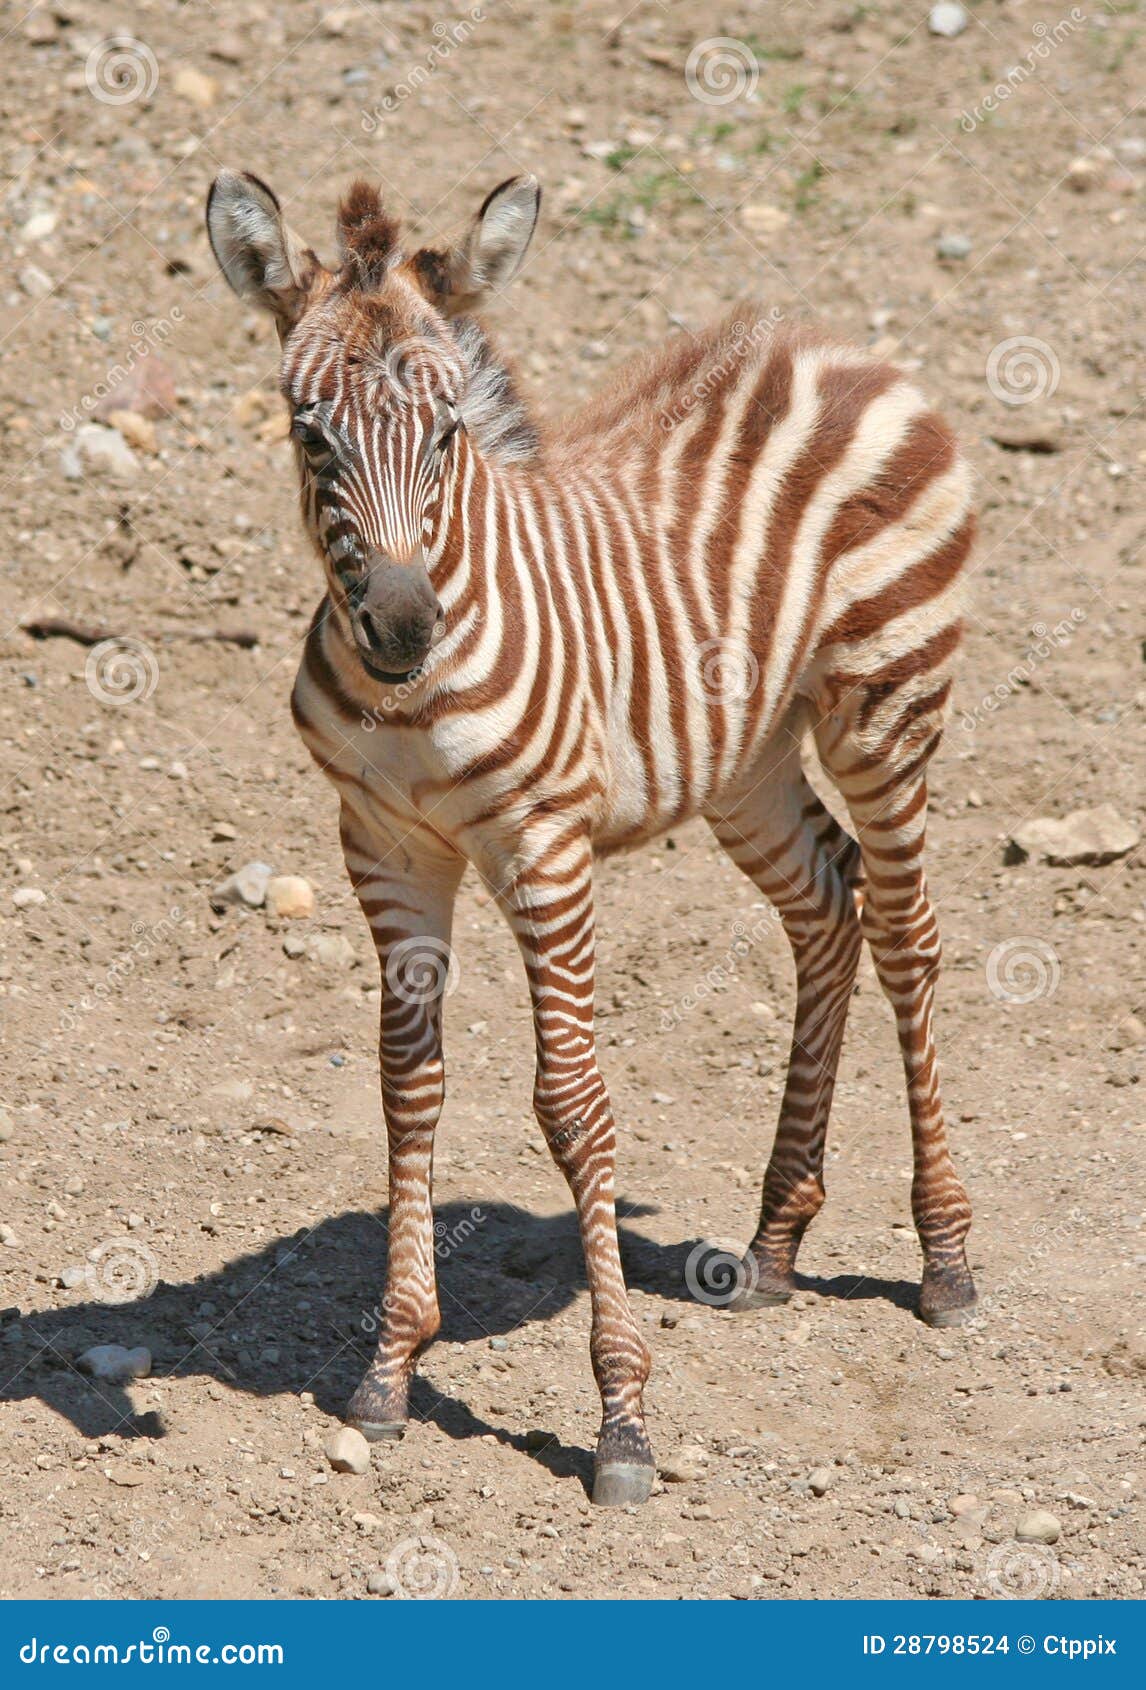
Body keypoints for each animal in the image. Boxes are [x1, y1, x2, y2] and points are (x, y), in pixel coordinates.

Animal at [207, 169, 979, 1507]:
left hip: (886, 711)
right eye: (311, 437)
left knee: (907, 935)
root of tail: (842, 350)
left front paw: (622, 1419)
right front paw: (390, 1368)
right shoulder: (385, 845)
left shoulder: (542, 850)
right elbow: (408, 1087)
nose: (401, 628)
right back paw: (775, 1240)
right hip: (747, 759)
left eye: (449, 436)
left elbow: (573, 1105)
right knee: (827, 910)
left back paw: (942, 1258)